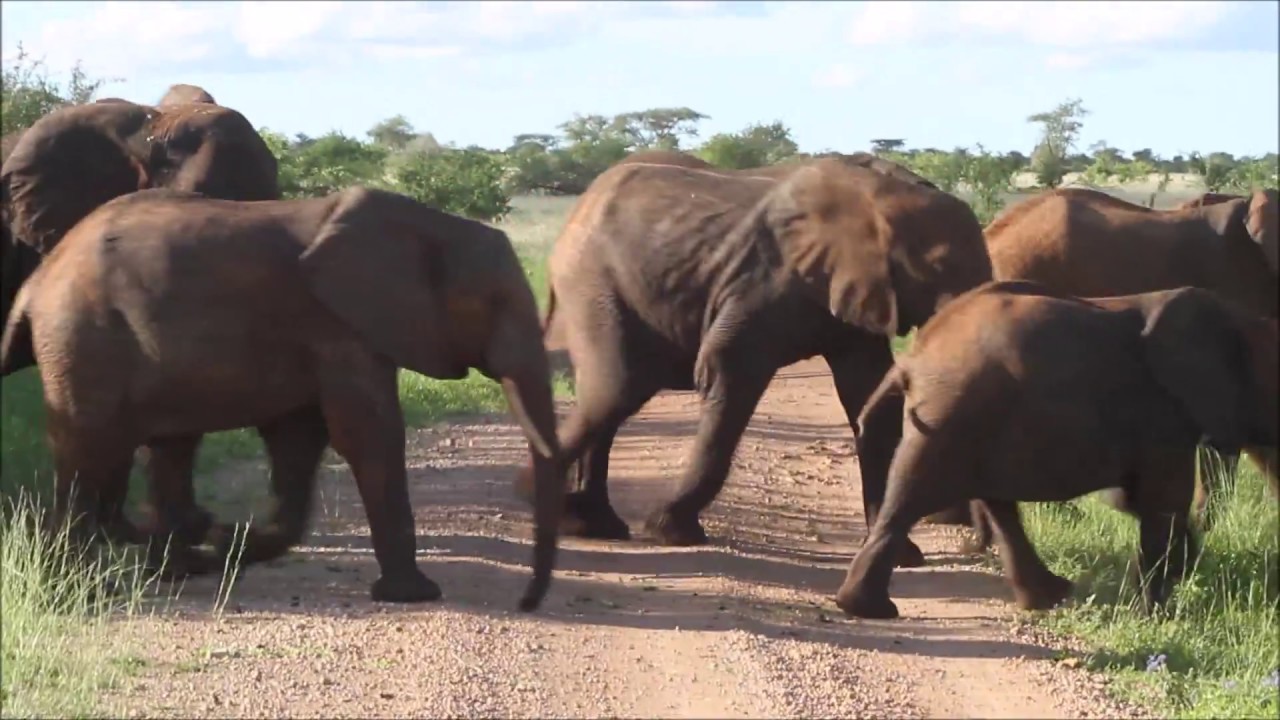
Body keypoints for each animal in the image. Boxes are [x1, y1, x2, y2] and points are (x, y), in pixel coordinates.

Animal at [0, 185, 565, 611]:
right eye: (495, 301)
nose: (526, 603)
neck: (431, 225)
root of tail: (36, 281)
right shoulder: (338, 326)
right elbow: (367, 432)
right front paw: (416, 596)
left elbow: (300, 438)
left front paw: (226, 540)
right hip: (81, 337)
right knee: (86, 449)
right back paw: (86, 586)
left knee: (166, 445)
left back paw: (179, 565)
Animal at [515, 157, 992, 571]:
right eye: (938, 266)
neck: (884, 196)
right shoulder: (766, 278)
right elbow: (729, 368)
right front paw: (672, 532)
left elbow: (868, 396)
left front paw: (902, 557)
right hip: (592, 281)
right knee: (618, 384)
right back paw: (549, 505)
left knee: (617, 393)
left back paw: (594, 525)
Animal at [836, 280, 1278, 620]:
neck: (1242, 322)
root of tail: (911, 360)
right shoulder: (1164, 414)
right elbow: (1162, 504)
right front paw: (1154, 614)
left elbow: (1139, 501)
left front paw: (1183, 569)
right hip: (954, 414)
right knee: (916, 497)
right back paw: (871, 609)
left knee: (989, 501)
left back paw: (1048, 597)